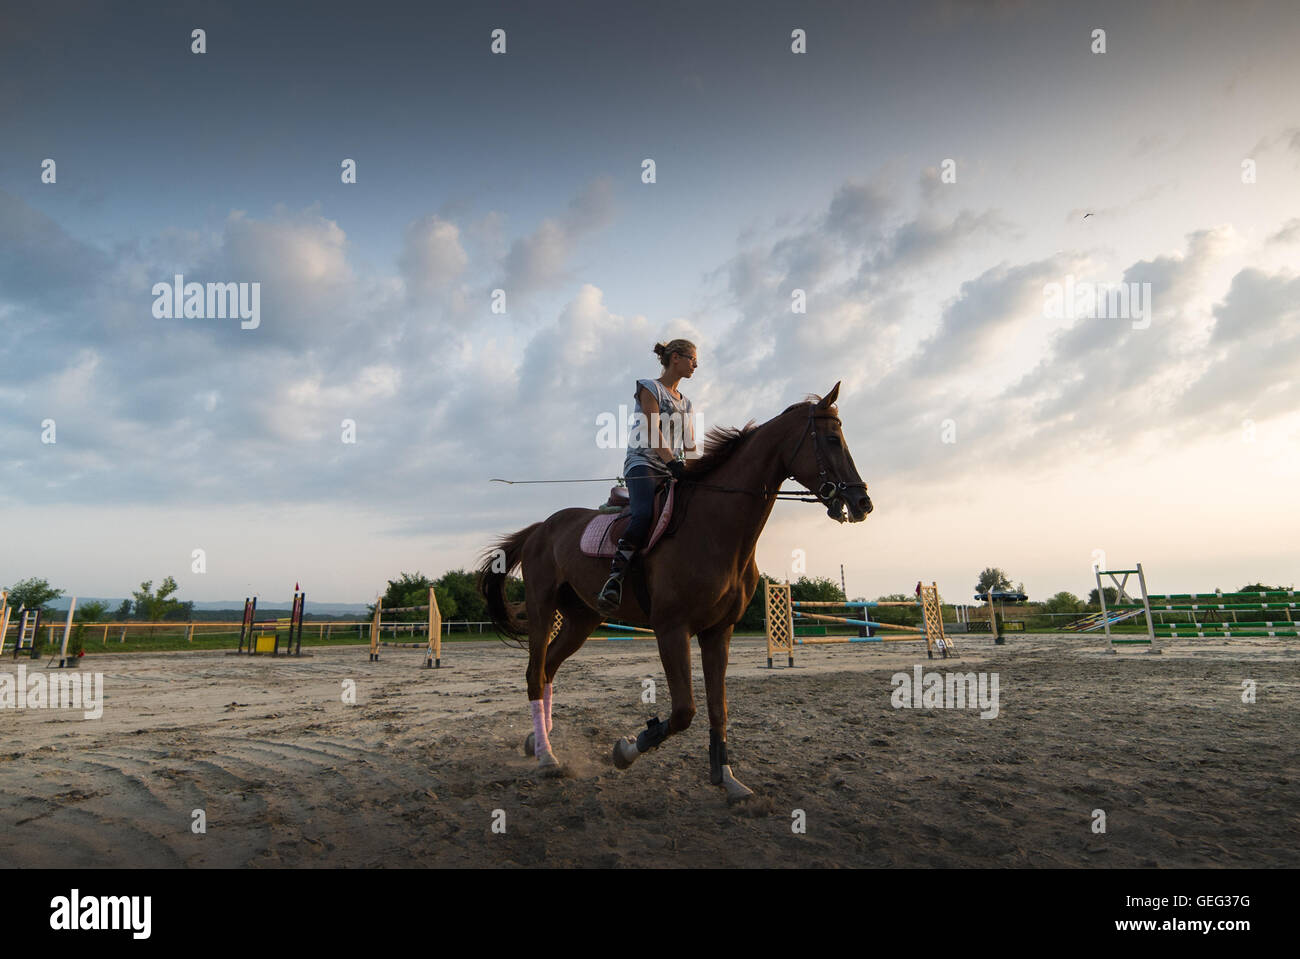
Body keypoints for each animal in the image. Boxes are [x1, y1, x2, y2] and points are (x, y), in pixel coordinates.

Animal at [477, 382, 872, 801]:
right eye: (832, 439)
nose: (862, 502)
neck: (714, 528)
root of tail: (540, 528)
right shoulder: (671, 630)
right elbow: (684, 711)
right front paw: (627, 749)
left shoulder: (718, 632)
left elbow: (718, 708)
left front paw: (726, 776)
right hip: (542, 609)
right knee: (535, 674)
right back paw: (547, 758)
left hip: (581, 619)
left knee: (549, 668)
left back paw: (537, 741)